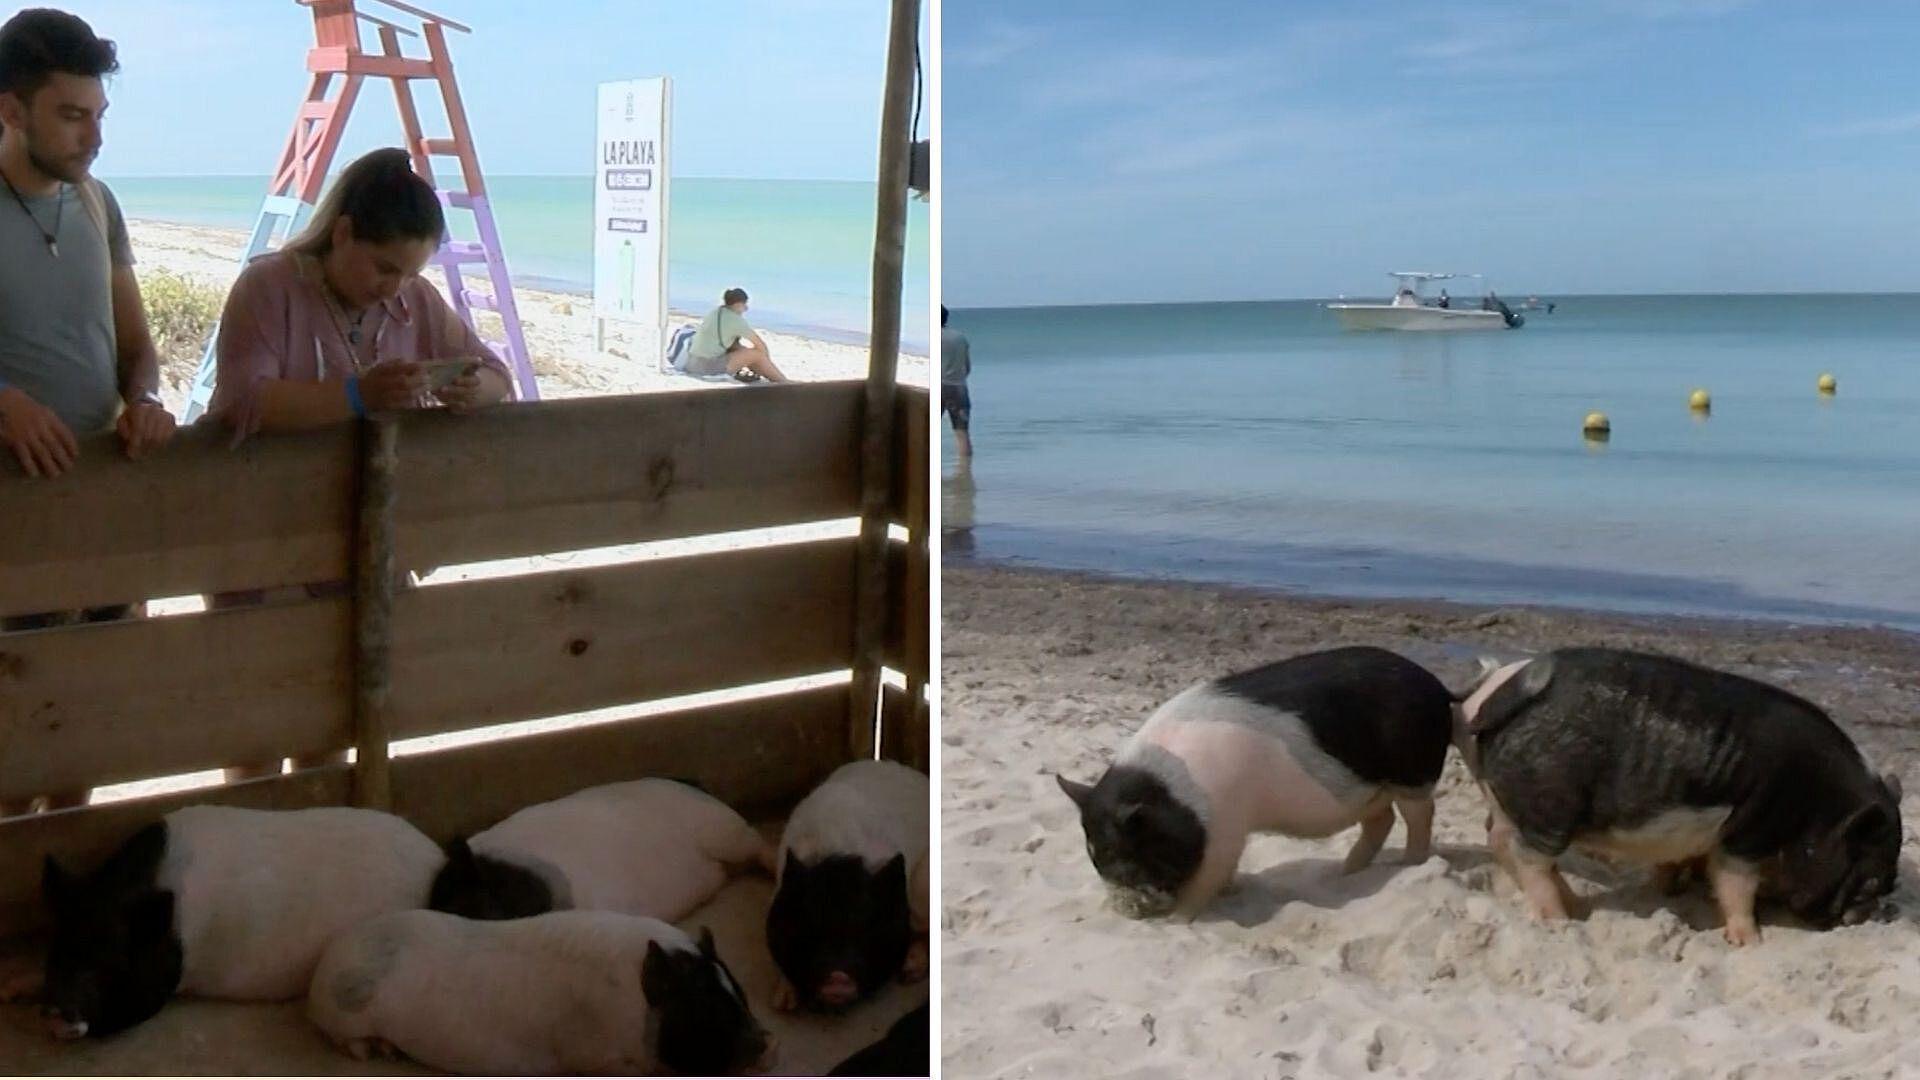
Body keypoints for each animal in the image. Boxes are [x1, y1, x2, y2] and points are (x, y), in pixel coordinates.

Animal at [307, 909, 771, 1076]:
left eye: (740, 994)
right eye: (704, 1009)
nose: (766, 1041)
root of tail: (325, 961)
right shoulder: (596, 1057)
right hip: (344, 1016)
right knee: (345, 1040)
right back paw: (379, 1053)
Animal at [1055, 645, 1455, 920]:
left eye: (1122, 853)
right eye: (1094, 855)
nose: (1125, 910)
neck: (1179, 798)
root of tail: (1438, 687)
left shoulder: (1226, 832)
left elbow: (1206, 881)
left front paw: (1179, 919)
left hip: (1413, 774)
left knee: (1420, 815)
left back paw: (1408, 864)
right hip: (1371, 790)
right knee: (1381, 820)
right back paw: (1346, 872)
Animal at [1457, 647, 1903, 945]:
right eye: (1871, 880)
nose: (1876, 916)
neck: (1819, 806)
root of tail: (1506, 687)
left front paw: (1667, 890)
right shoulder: (1752, 827)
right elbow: (1736, 882)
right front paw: (1750, 941)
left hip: (1507, 796)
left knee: (1499, 837)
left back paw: (1576, 908)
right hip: (1551, 801)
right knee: (1529, 857)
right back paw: (1559, 921)